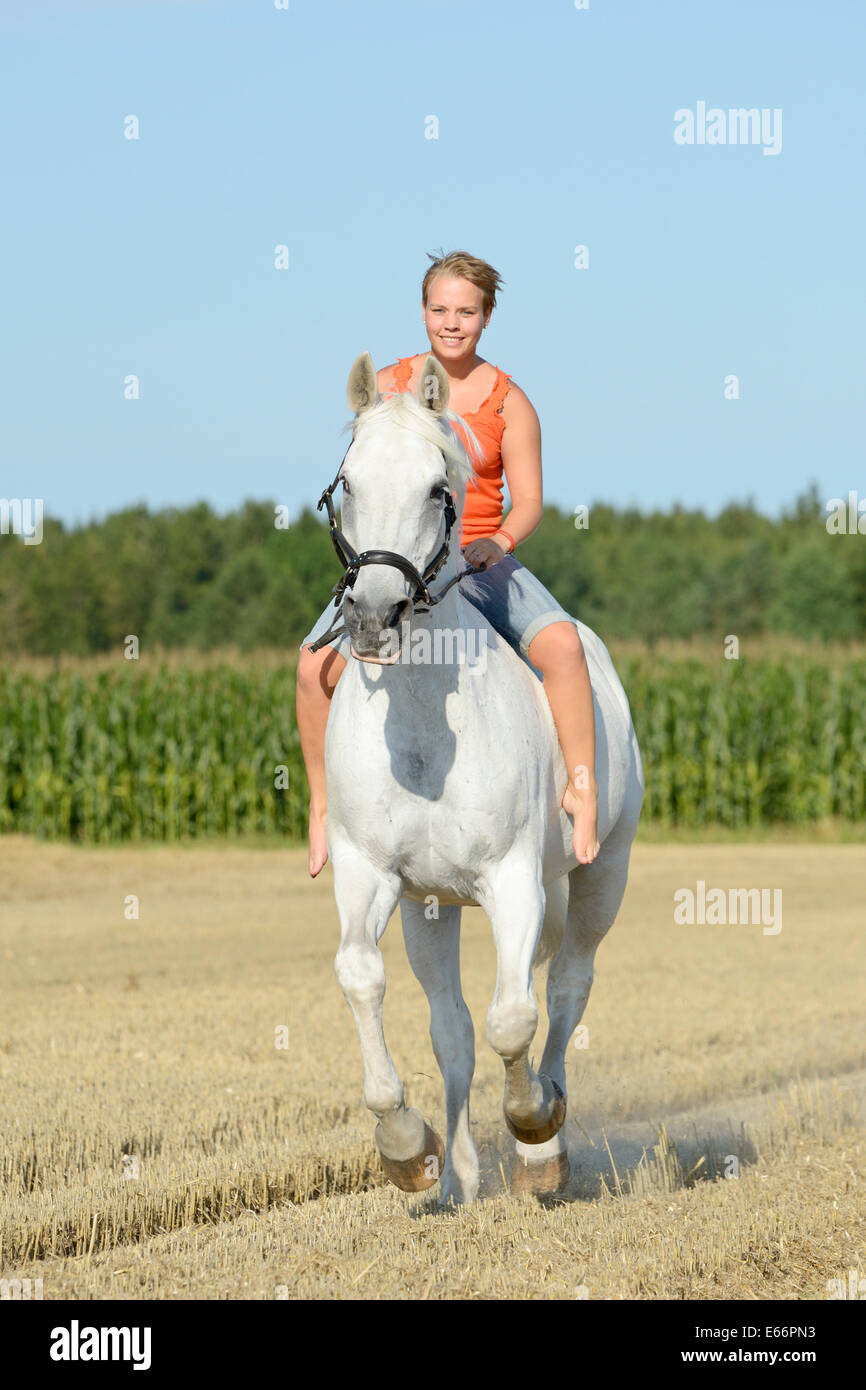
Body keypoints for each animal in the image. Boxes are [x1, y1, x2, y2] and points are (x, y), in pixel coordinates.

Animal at [317, 351, 644, 1204]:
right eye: (349, 482)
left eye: (440, 488)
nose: (374, 618)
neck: (423, 730)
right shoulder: (371, 875)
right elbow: (362, 978)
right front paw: (406, 1148)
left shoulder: (514, 880)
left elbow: (515, 1017)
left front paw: (535, 1127)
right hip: (432, 909)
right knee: (454, 1026)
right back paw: (459, 1178)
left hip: (603, 875)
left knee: (565, 986)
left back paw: (543, 1149)